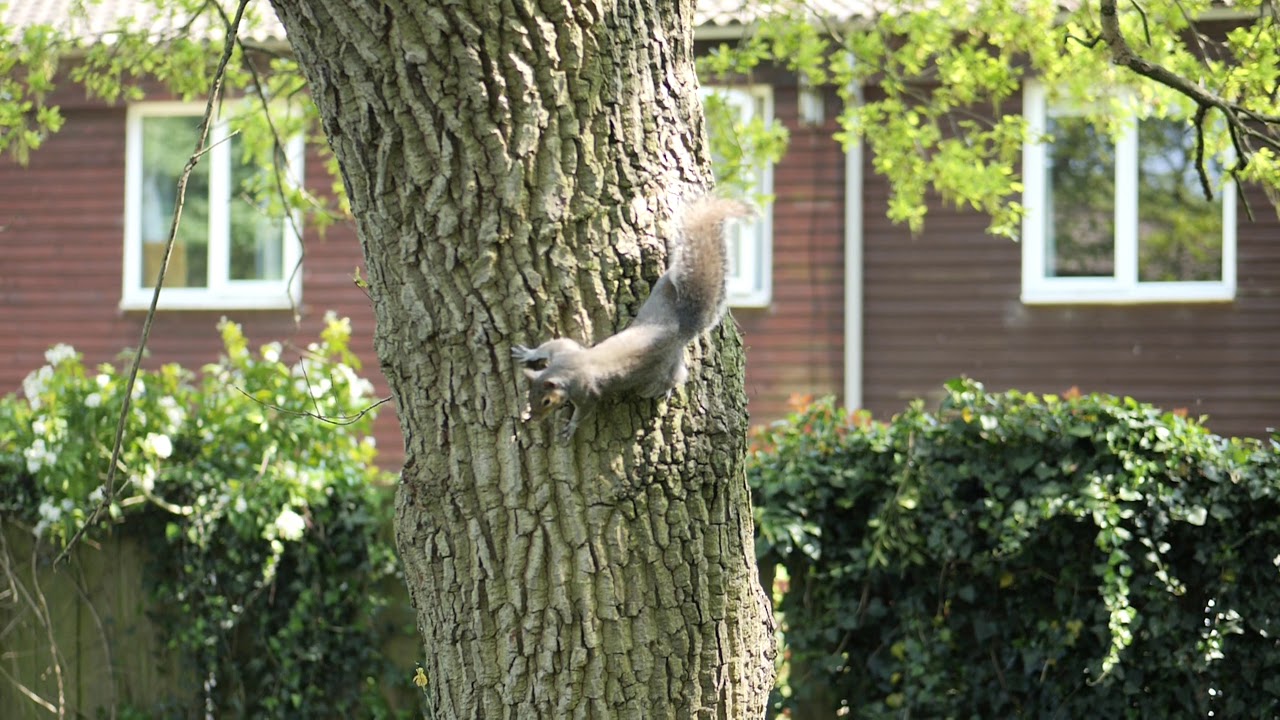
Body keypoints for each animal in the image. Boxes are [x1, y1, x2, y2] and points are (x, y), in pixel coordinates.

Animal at [512, 196, 754, 440]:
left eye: (546, 401)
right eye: (529, 397)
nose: (534, 418)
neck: (564, 369)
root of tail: (679, 328)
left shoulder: (586, 391)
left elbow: (585, 410)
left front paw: (571, 427)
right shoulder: (564, 351)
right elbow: (553, 344)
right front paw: (529, 353)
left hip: (658, 374)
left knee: (677, 377)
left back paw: (667, 389)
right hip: (659, 296)